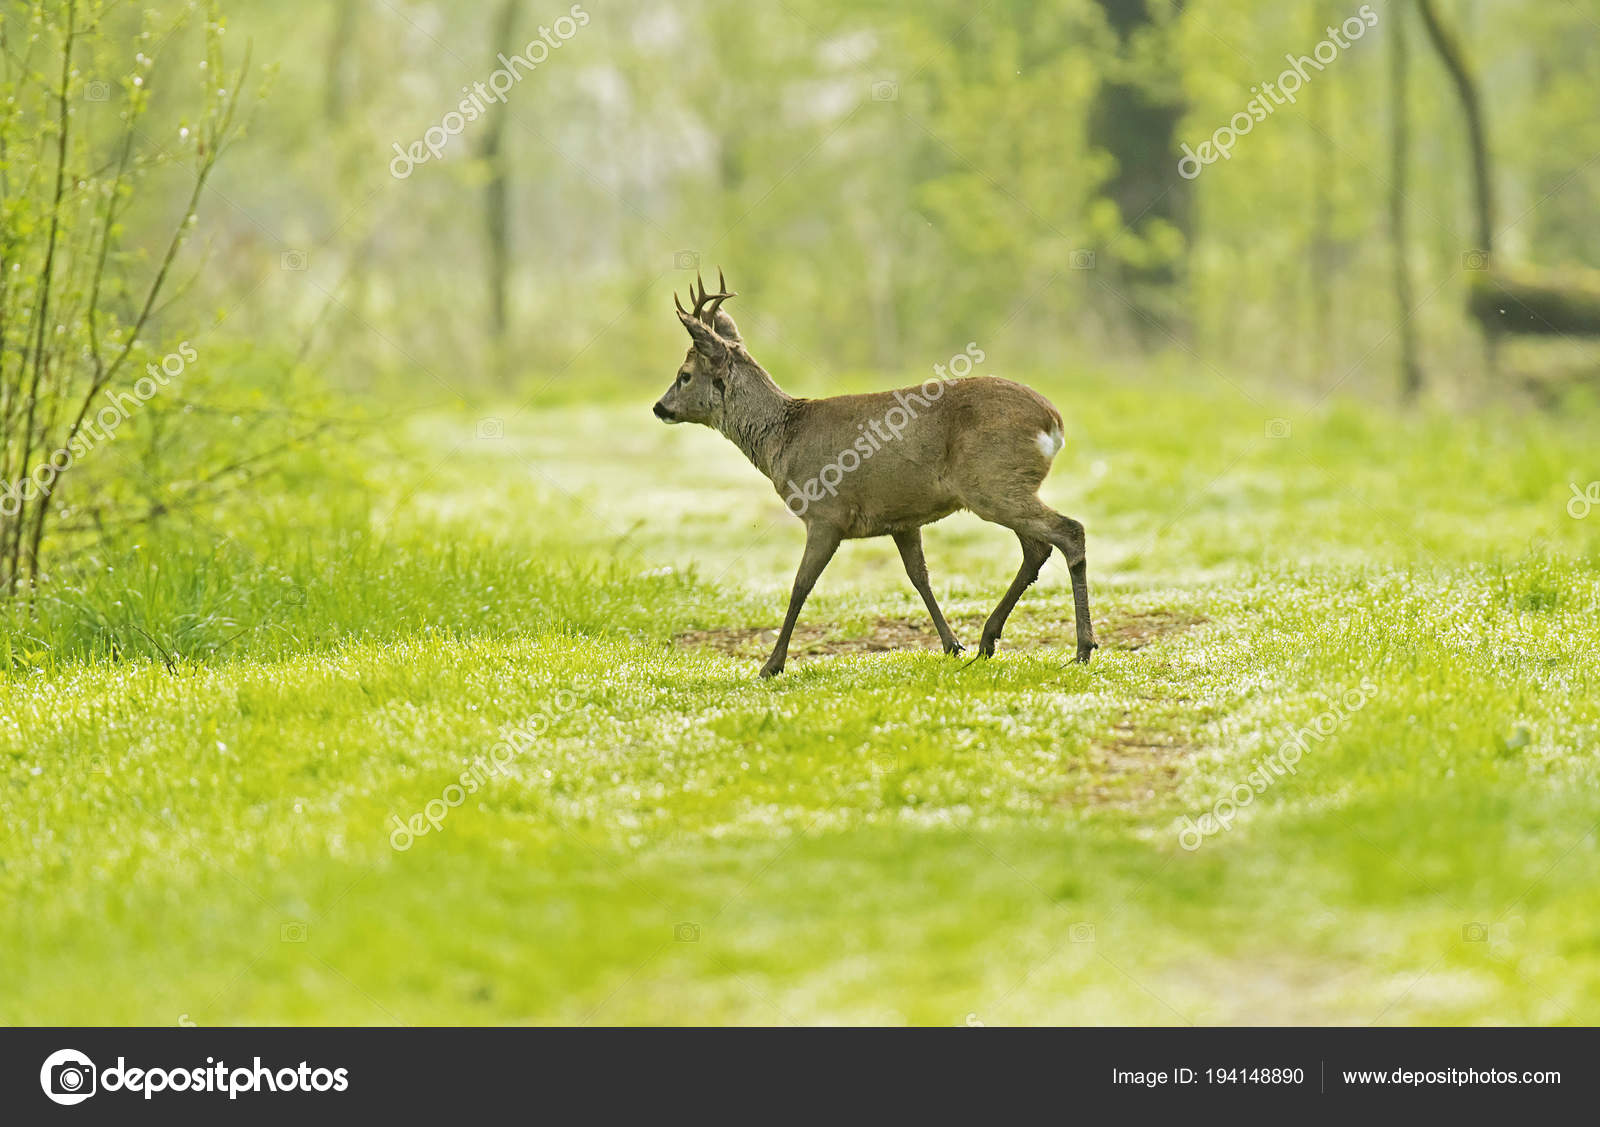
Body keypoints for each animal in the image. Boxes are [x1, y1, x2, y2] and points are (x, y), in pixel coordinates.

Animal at [653, 271, 1096, 678]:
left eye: (684, 375)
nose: (659, 407)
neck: (784, 437)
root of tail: (1052, 421)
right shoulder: (902, 518)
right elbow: (919, 577)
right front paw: (952, 645)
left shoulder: (826, 514)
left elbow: (800, 586)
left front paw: (771, 665)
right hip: (1001, 486)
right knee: (1036, 548)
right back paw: (988, 641)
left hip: (992, 483)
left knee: (1068, 531)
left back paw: (1082, 649)